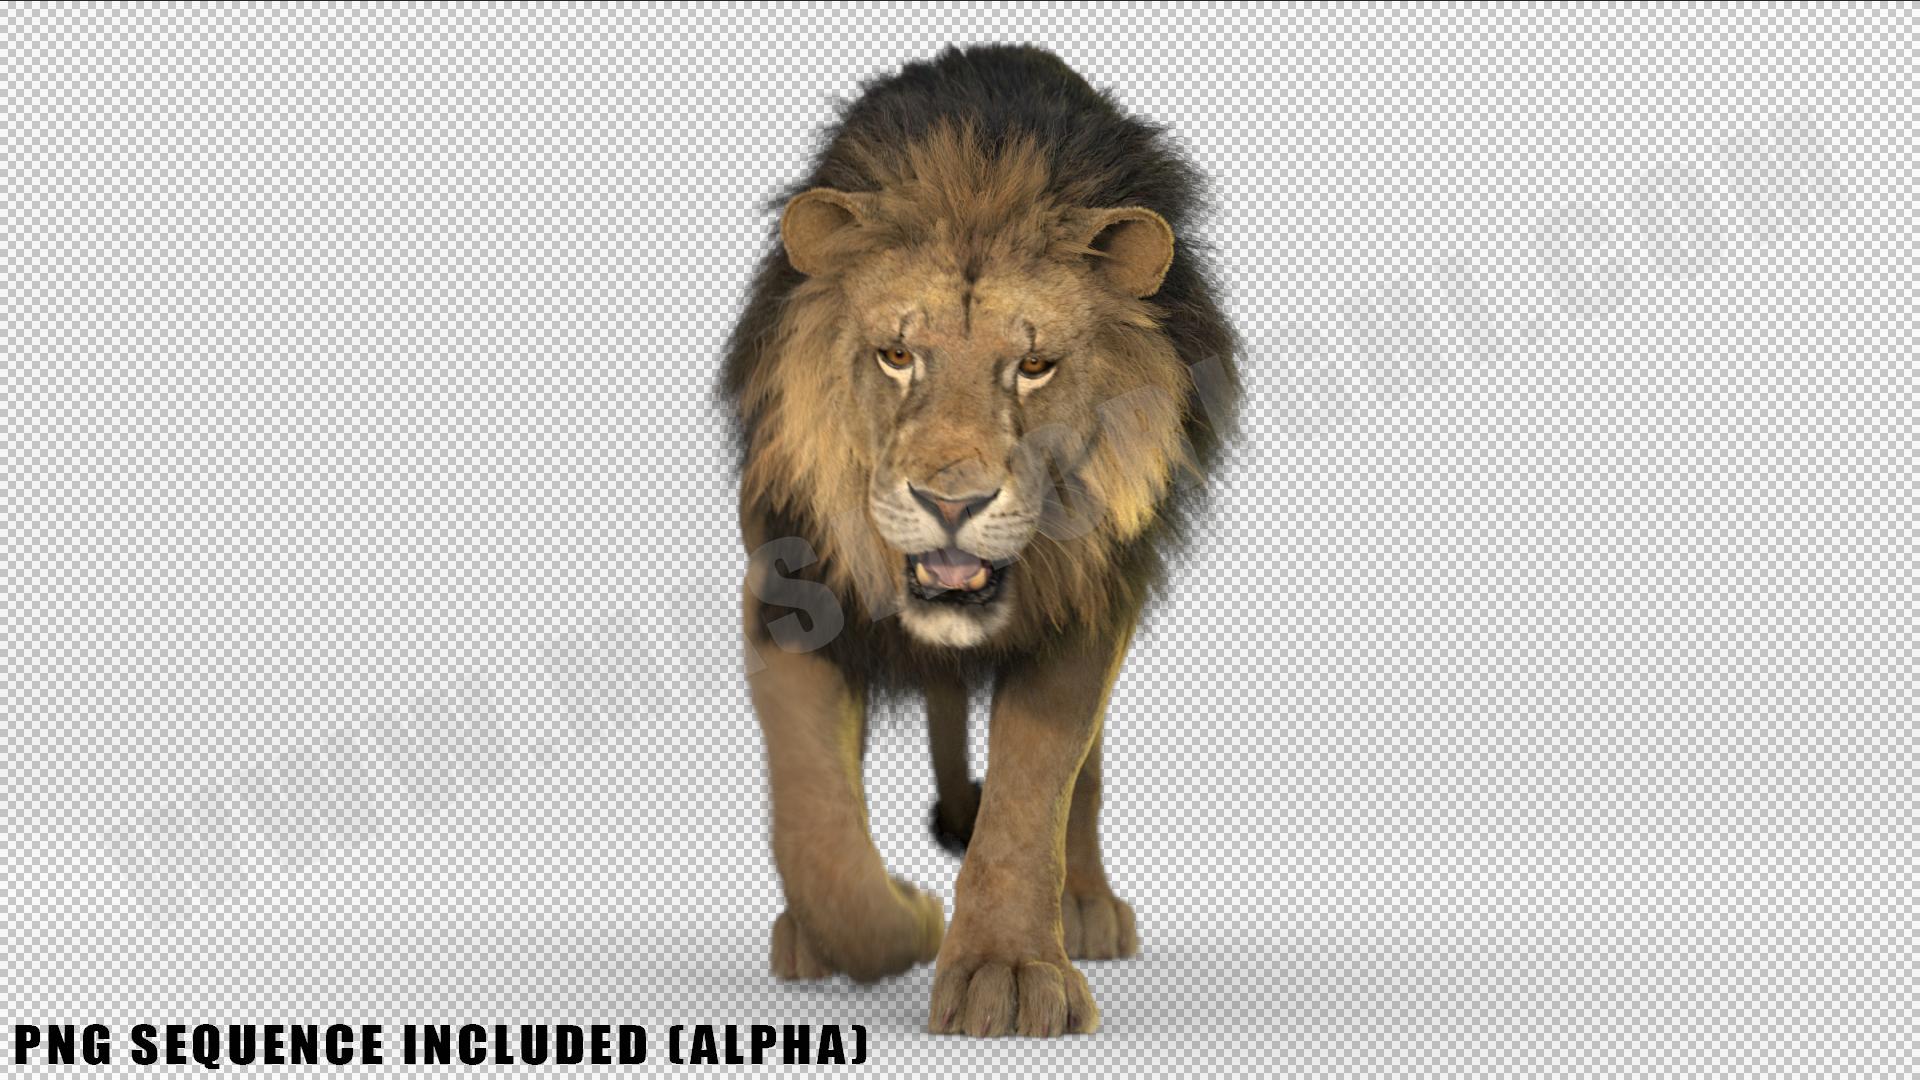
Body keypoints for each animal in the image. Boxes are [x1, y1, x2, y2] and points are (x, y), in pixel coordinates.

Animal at [723, 44, 1240, 1037]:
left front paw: (1007, 966)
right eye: (896, 355)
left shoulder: (1084, 604)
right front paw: (885, 920)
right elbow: (815, 811)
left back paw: (1083, 906)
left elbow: (1032, 791)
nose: (949, 502)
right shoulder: (790, 587)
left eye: (1033, 366)